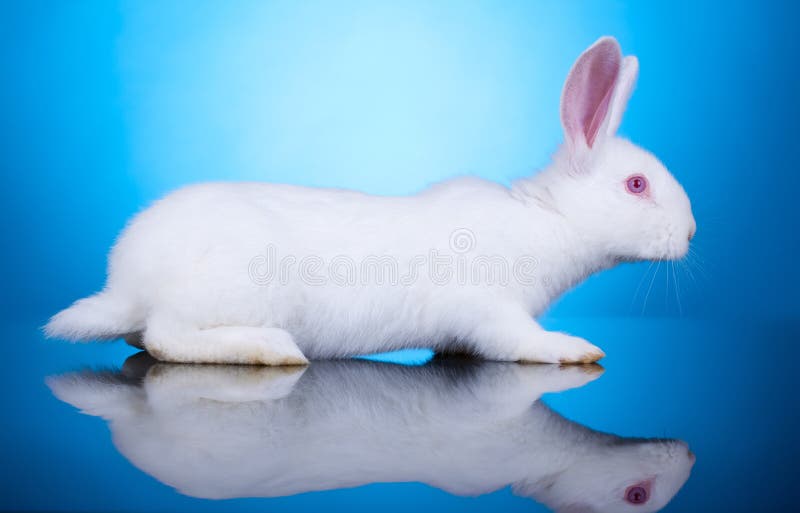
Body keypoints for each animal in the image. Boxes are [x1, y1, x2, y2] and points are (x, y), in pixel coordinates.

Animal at [44, 36, 696, 365]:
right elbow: (520, 343)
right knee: (163, 338)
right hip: (234, 292)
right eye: (637, 185)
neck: (548, 219)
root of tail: (127, 283)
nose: (691, 234)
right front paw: (576, 349)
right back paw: (271, 350)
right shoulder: (489, 310)